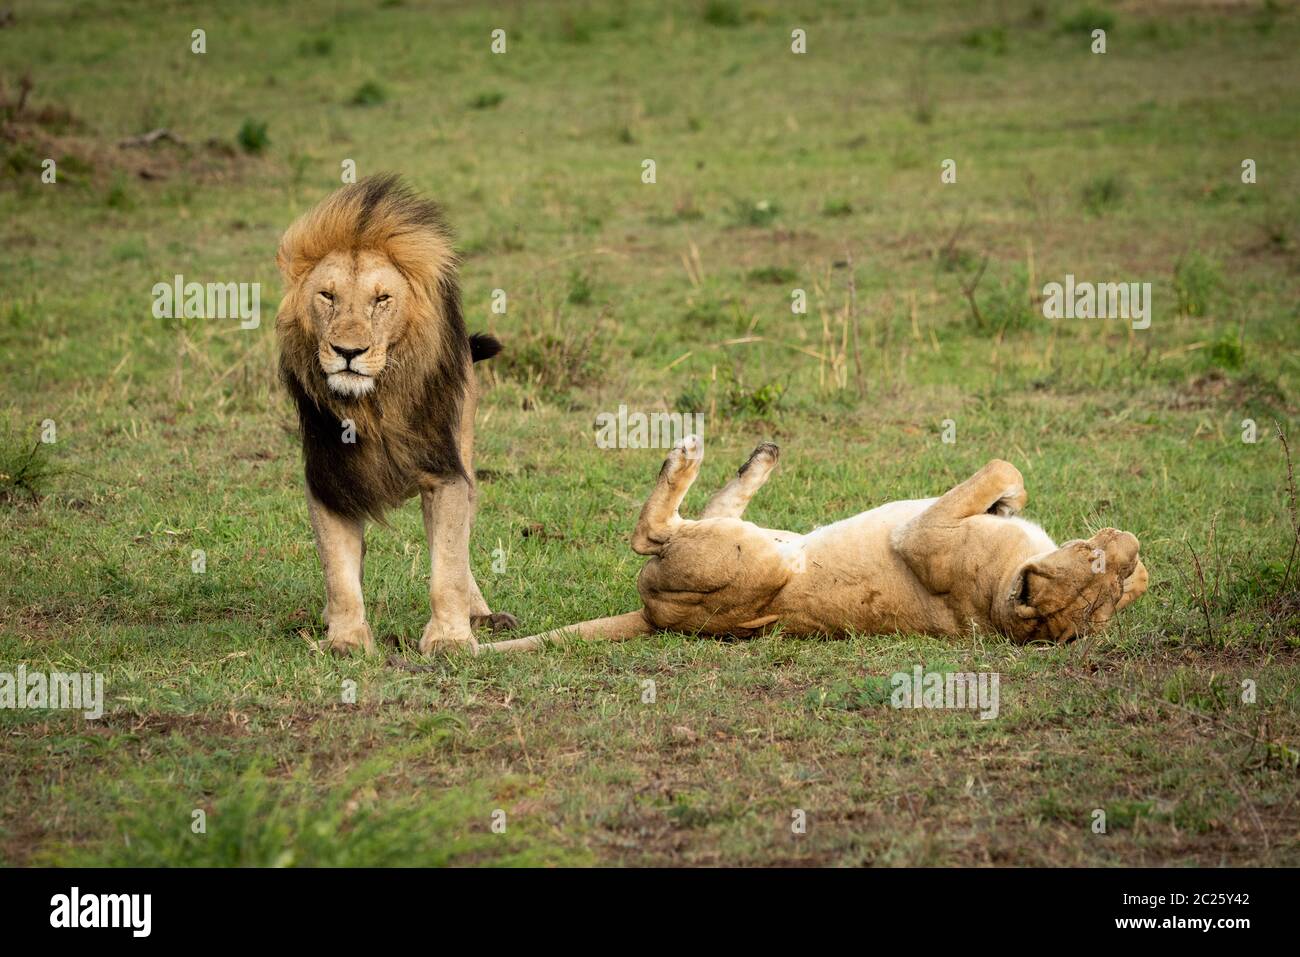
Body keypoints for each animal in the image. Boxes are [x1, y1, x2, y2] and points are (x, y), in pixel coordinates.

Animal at [276, 174, 514, 656]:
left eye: (381, 299)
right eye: (327, 296)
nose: (348, 351)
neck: (372, 406)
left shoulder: (444, 473)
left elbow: (448, 566)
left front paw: (449, 639)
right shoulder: (328, 480)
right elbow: (339, 573)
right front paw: (346, 640)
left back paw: (480, 613)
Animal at [482, 436, 1148, 653]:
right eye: (1098, 564)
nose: (1128, 543)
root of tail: (652, 618)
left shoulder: (923, 533)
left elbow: (1001, 465)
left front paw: (1004, 499)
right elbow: (1010, 474)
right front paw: (1009, 503)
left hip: (761, 558)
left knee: (650, 534)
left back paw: (692, 455)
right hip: (769, 540)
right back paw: (760, 456)